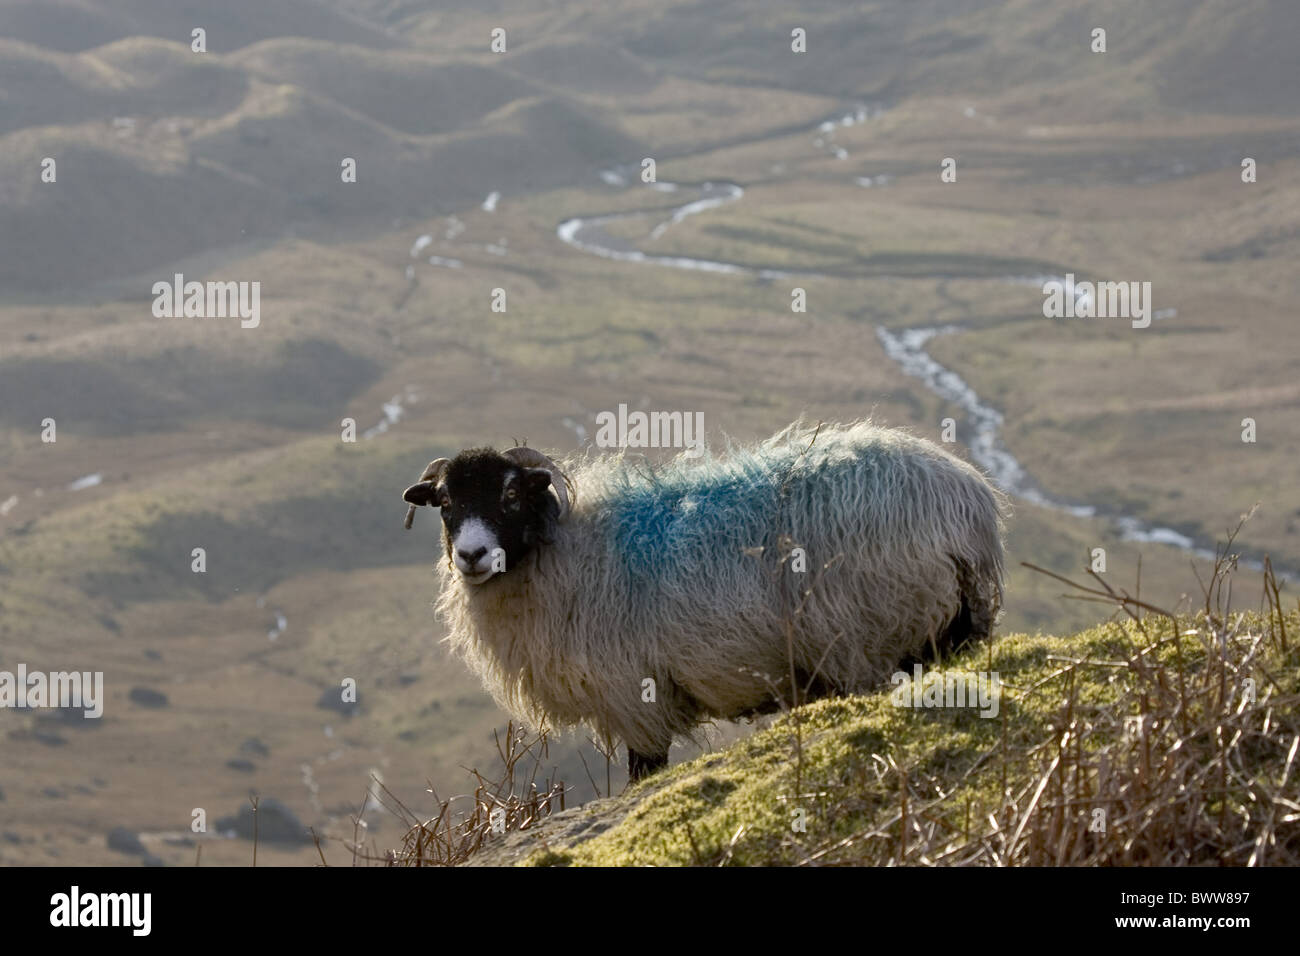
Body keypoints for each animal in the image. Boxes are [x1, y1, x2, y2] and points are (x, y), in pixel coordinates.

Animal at [402, 420, 1007, 780]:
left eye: (510, 494)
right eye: (446, 503)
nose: (472, 555)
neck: (563, 550)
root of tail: (966, 500)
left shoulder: (635, 696)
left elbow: (642, 773)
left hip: (872, 631)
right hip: (947, 626)